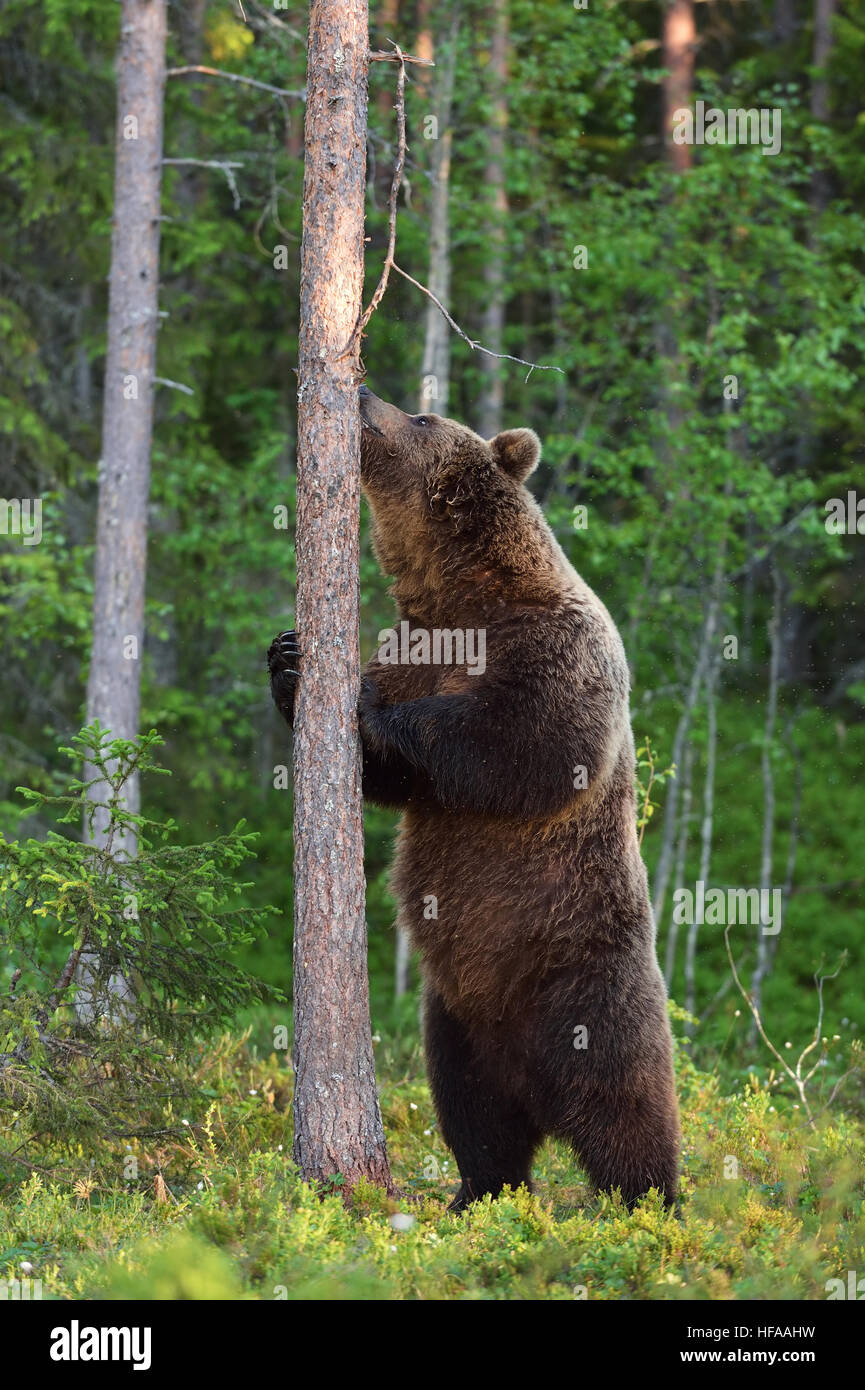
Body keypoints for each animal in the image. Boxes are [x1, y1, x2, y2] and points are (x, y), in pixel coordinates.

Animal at [268, 384, 680, 1211]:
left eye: (425, 417)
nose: (365, 391)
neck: (463, 595)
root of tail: (536, 1081)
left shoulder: (555, 647)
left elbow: (530, 745)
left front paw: (373, 712)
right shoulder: (410, 647)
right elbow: (390, 779)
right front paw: (288, 660)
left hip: (589, 985)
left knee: (626, 1106)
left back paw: (650, 1205)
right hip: (455, 1019)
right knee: (475, 1116)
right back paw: (477, 1194)